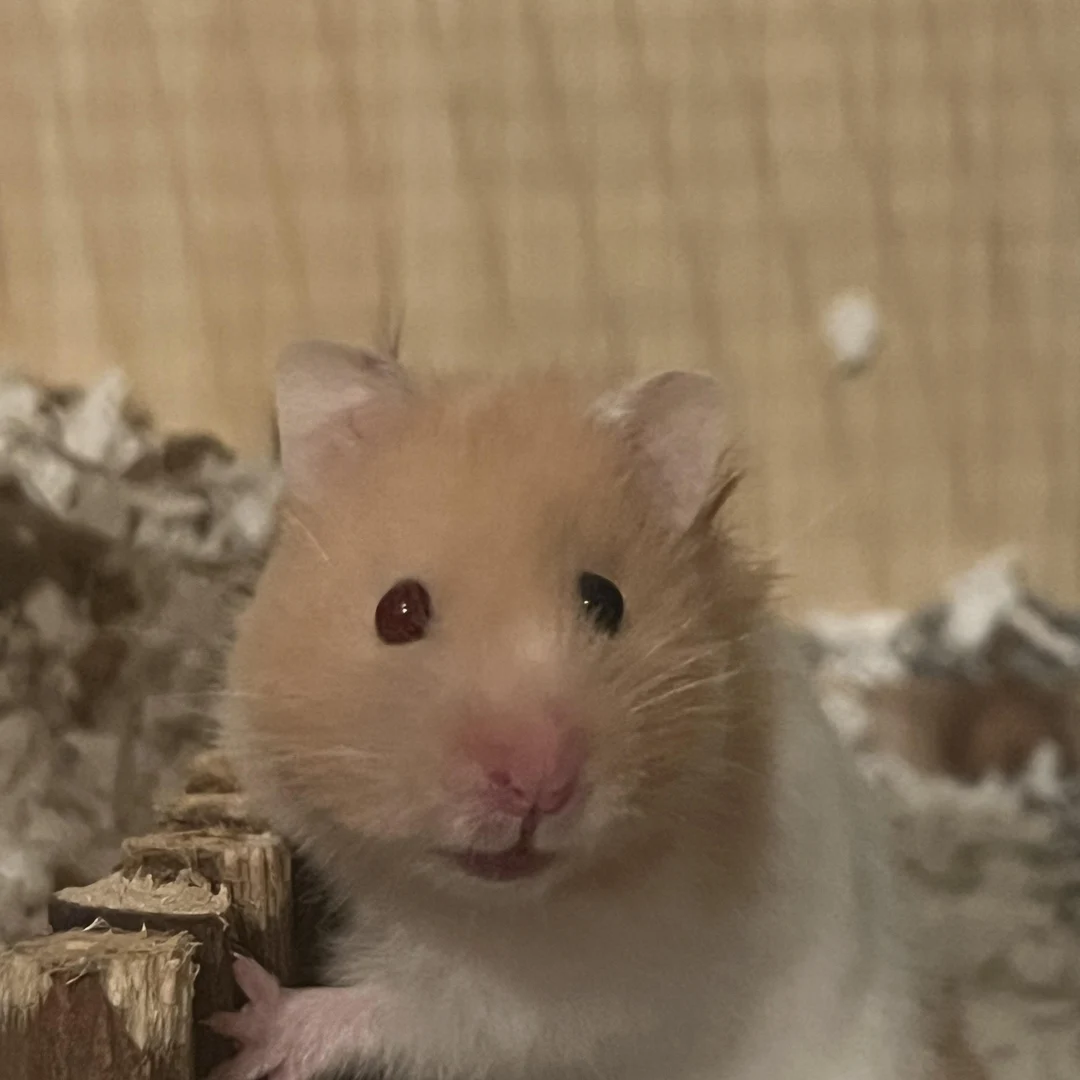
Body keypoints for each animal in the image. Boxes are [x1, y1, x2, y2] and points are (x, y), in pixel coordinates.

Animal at [209, 340, 982, 1080]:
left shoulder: (572, 1000)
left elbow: (402, 1013)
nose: (537, 783)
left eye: (607, 600)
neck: (490, 903)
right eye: (397, 611)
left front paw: (241, 1023)